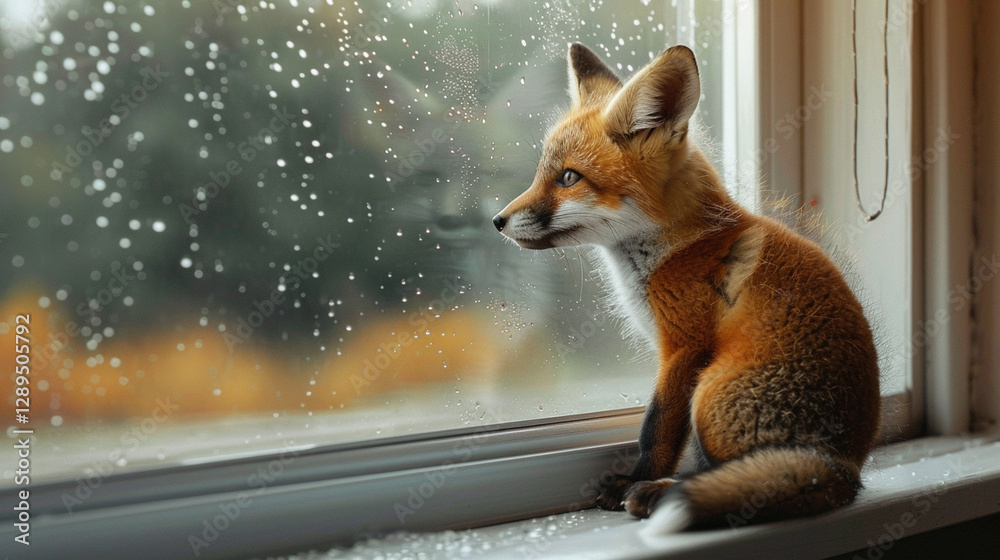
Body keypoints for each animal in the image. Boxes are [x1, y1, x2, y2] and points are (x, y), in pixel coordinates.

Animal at [492, 43, 881, 533]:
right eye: (543, 173)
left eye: (568, 178)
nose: (497, 221)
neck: (672, 248)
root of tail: (844, 467)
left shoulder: (683, 345)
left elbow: (655, 429)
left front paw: (633, 482)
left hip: (709, 393)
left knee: (733, 477)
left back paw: (661, 493)